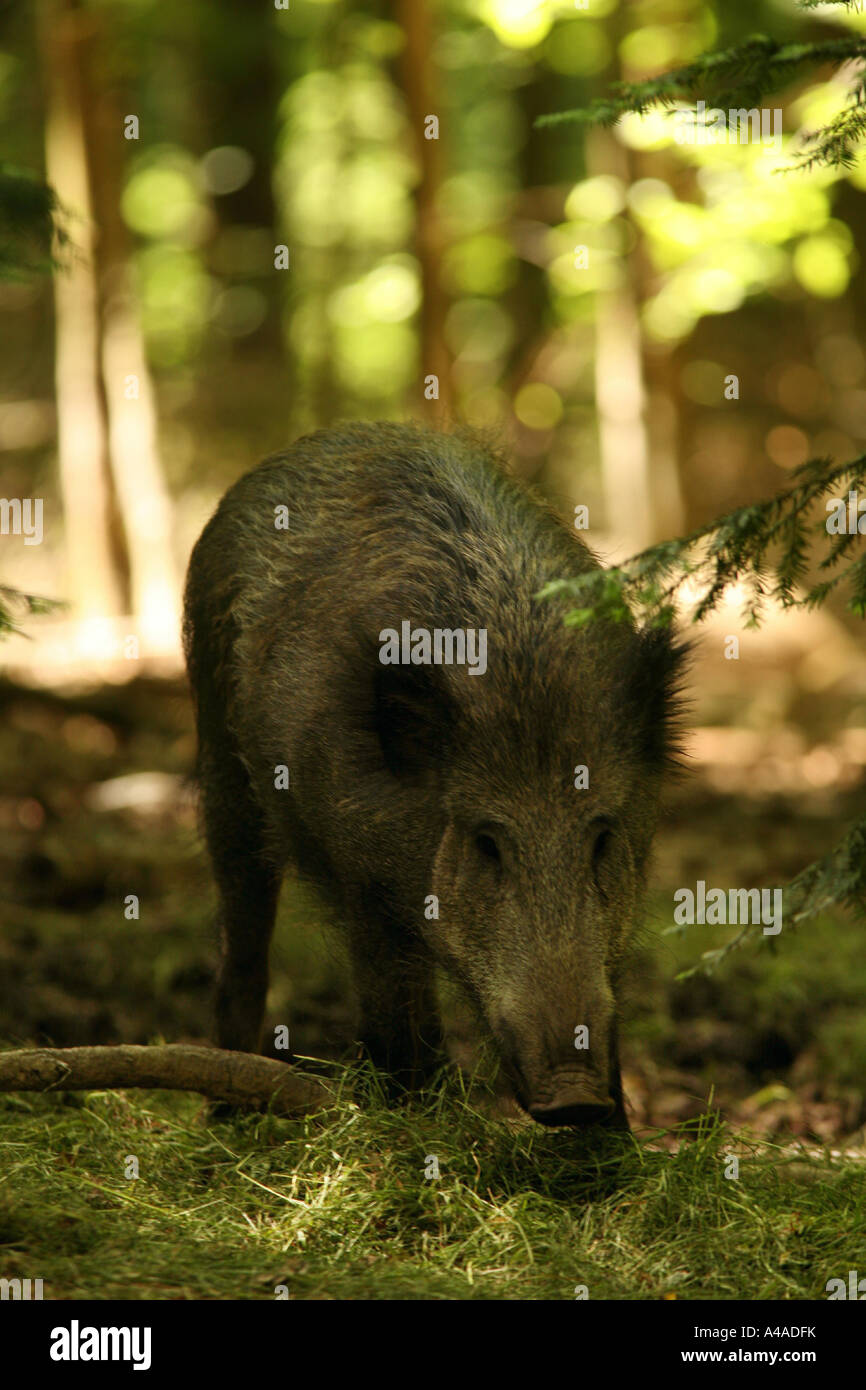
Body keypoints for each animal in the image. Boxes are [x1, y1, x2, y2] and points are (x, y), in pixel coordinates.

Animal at [183, 422, 685, 1127]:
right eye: (486, 842)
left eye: (601, 837)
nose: (574, 1098)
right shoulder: (360, 874)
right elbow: (395, 1005)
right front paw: (420, 1121)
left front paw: (618, 1141)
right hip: (220, 758)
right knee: (245, 937)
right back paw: (226, 1117)